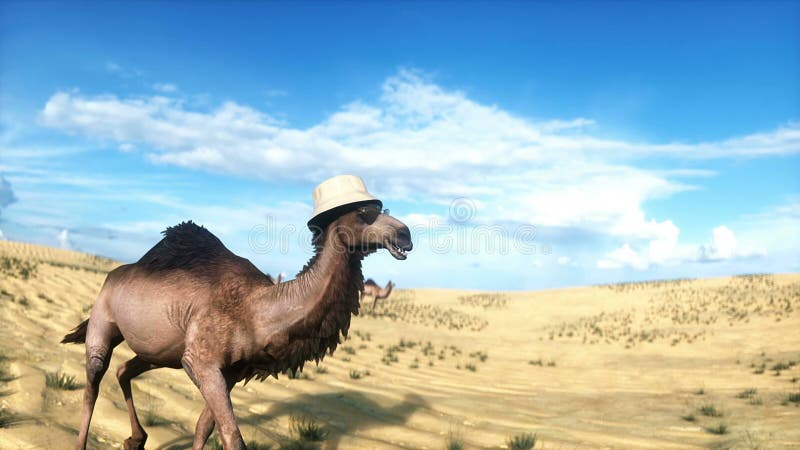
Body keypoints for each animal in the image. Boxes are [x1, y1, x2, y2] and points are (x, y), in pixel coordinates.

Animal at [60, 200, 412, 450]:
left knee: (125, 370)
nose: (405, 234)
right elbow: (233, 437)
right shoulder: (201, 361)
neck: (257, 309)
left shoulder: (229, 370)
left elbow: (204, 428)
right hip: (103, 319)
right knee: (93, 381)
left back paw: (136, 440)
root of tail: (113, 275)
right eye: (367, 213)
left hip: (159, 351)